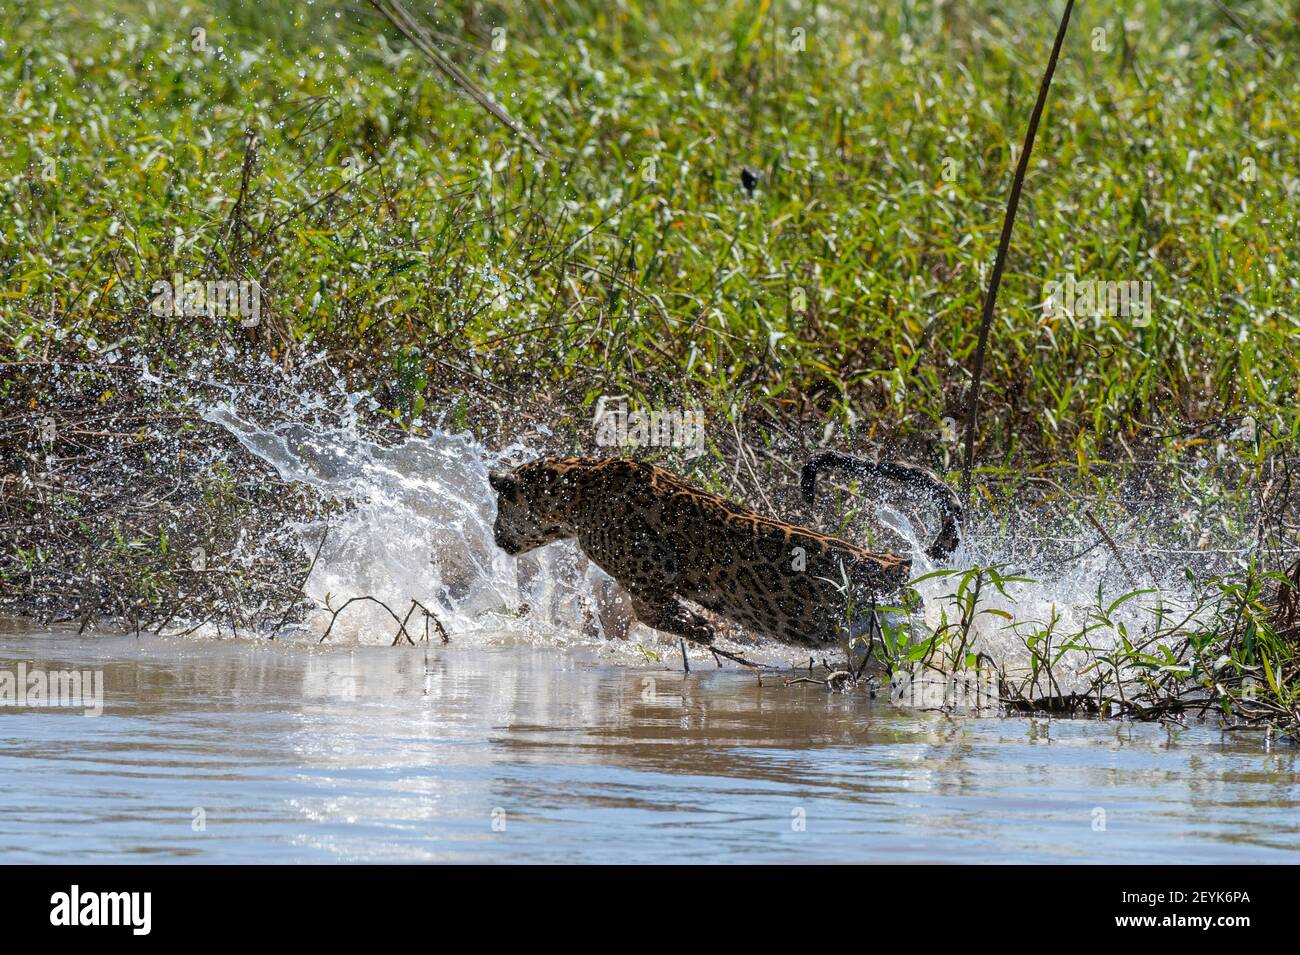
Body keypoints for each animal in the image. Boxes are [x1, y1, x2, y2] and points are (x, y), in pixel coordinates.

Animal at [489, 454, 961, 648]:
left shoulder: (649, 577)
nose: (494, 536)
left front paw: (700, 630)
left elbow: (650, 613)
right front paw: (699, 626)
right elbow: (646, 613)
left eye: (497, 507)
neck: (577, 490)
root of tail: (902, 563)